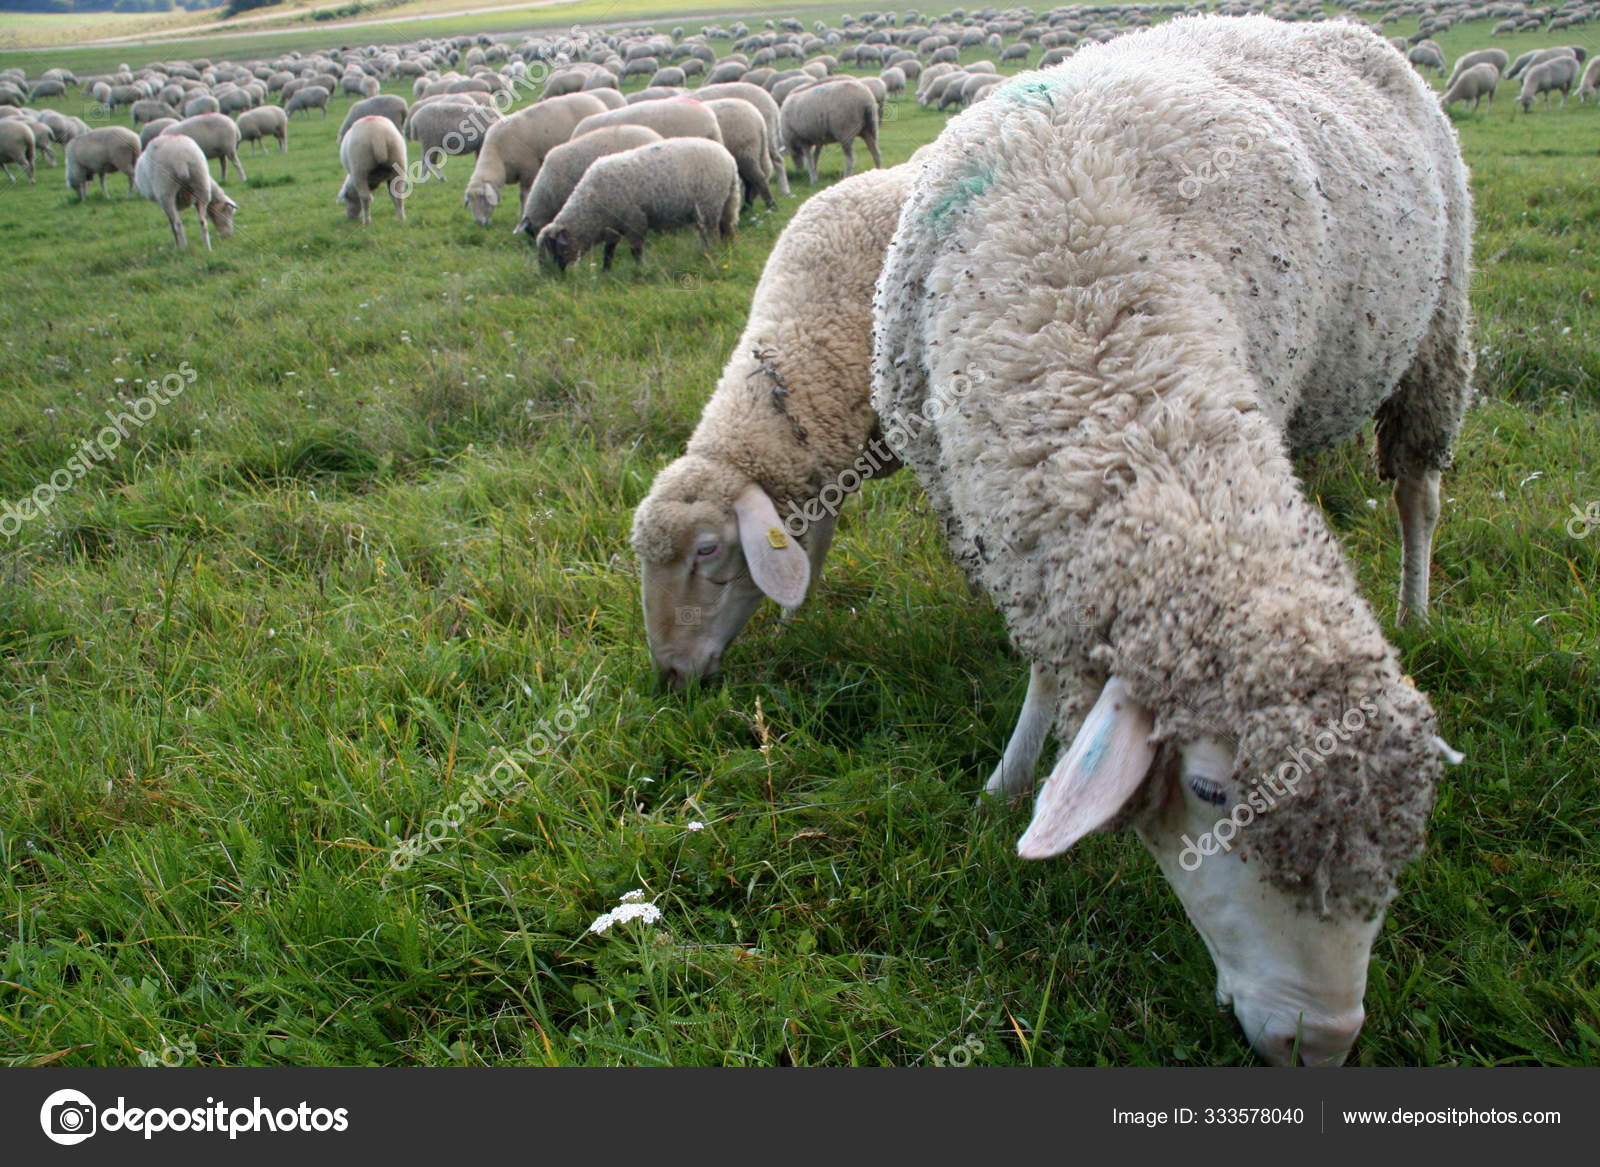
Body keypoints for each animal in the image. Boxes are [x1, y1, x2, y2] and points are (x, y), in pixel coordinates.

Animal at [462, 93, 606, 226]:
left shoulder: (528, 169)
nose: (479, 223)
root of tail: (596, 100)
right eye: (470, 201)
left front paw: (522, 214)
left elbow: (524, 195)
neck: (497, 157)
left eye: (482, 198)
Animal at [534, 137, 739, 272]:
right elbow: (609, 251)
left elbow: (636, 250)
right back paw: (726, 251)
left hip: (709, 205)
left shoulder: (634, 220)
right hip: (727, 201)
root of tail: (729, 159)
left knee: (711, 233)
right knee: (727, 229)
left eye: (552, 248)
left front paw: (640, 270)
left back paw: (711, 254)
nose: (548, 275)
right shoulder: (613, 226)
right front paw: (605, 271)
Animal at [871, 16, 1470, 1068]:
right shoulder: (997, 516)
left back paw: (1415, 604)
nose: (1321, 1043)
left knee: (1418, 497)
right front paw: (1008, 781)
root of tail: (1334, 25)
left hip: (1435, 333)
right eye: (1209, 791)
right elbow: (1042, 666)